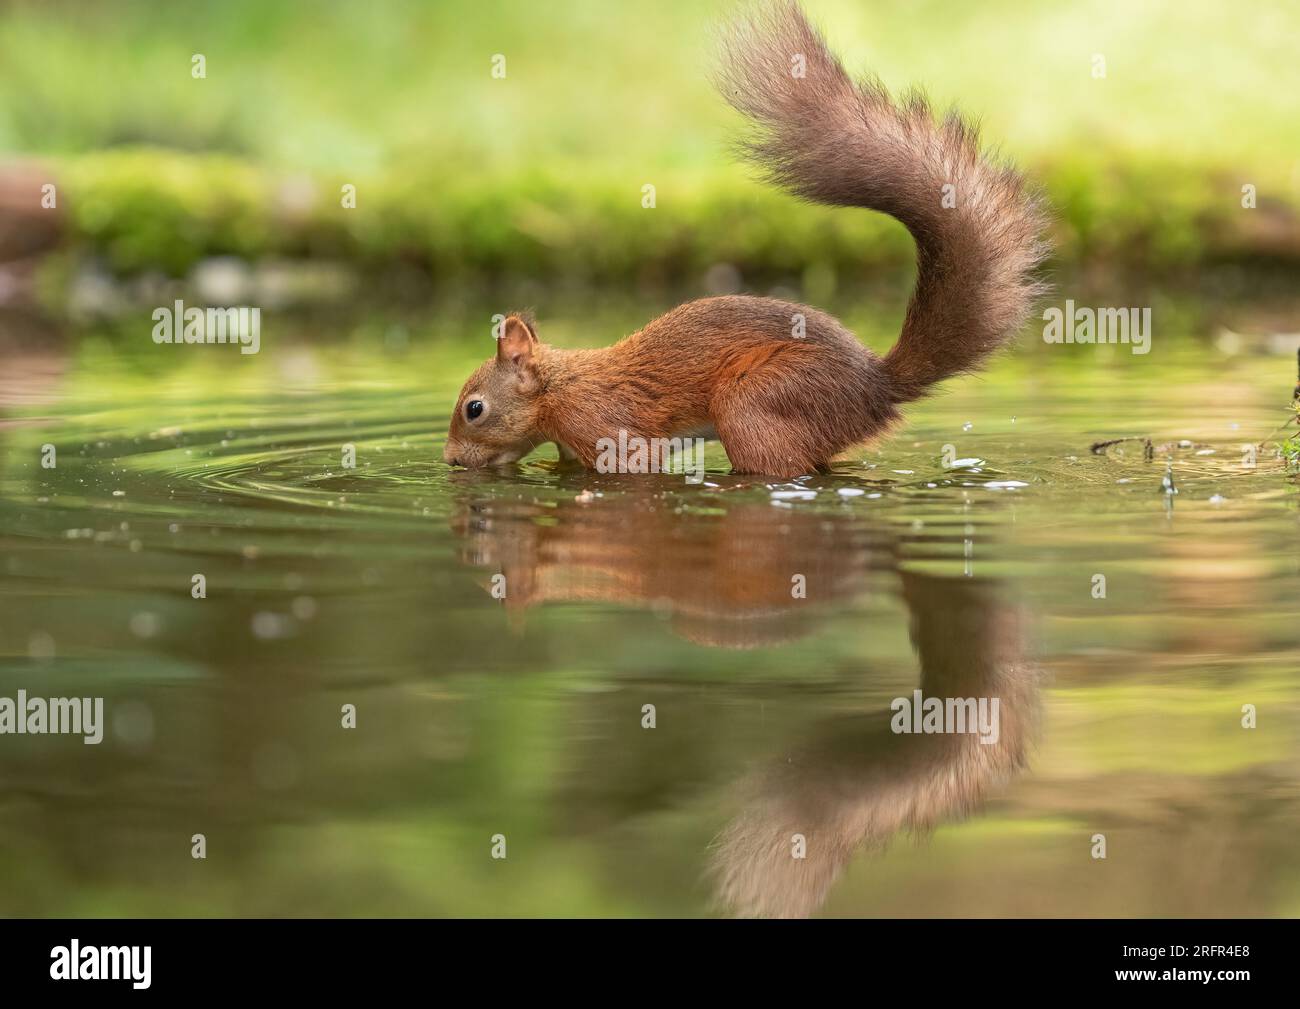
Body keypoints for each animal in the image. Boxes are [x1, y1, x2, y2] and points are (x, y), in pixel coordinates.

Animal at [444, 1, 1049, 479]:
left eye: (475, 409)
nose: (449, 459)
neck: (558, 387)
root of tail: (877, 387)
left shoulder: (604, 426)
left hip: (757, 402)